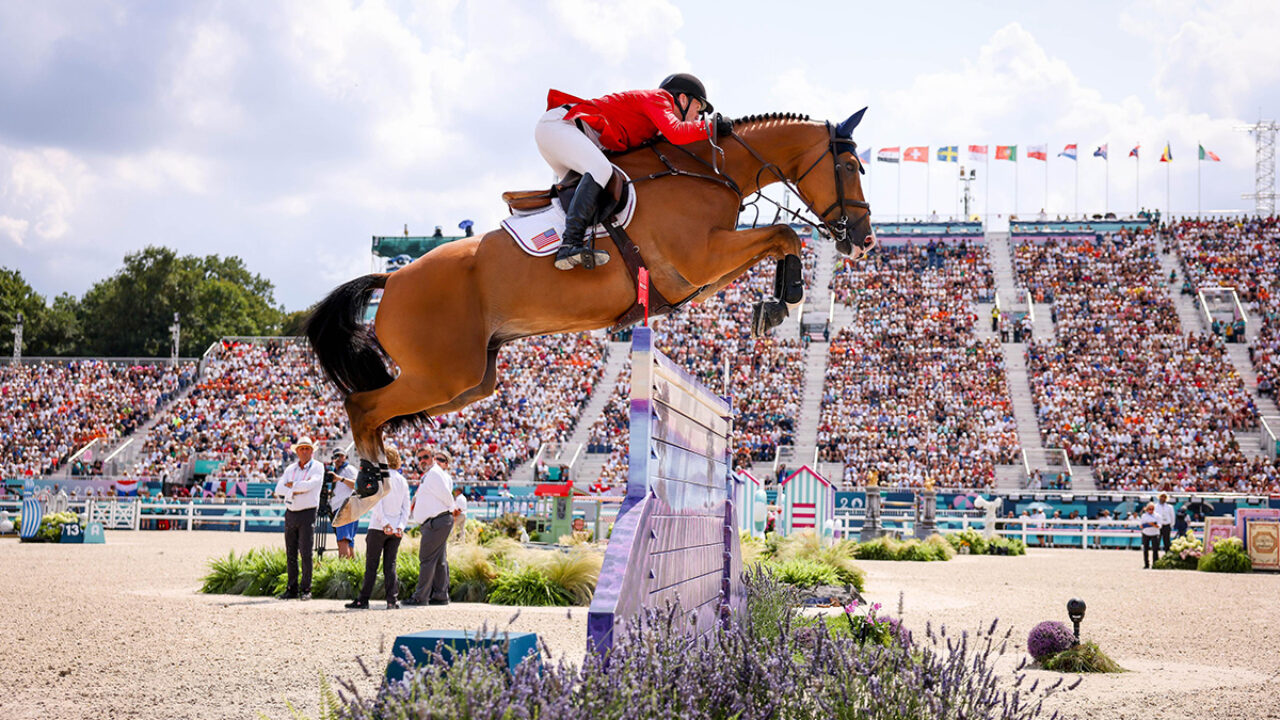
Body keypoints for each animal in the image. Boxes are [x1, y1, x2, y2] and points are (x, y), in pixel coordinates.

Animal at [307, 109, 875, 523]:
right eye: (849, 168)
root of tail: (394, 278)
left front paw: (777, 301)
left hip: (469, 381)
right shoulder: (698, 260)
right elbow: (784, 233)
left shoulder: (700, 275)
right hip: (443, 373)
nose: (864, 240)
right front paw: (786, 298)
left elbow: (778, 238)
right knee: (362, 405)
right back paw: (366, 487)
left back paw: (366, 486)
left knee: (381, 409)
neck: (711, 172)